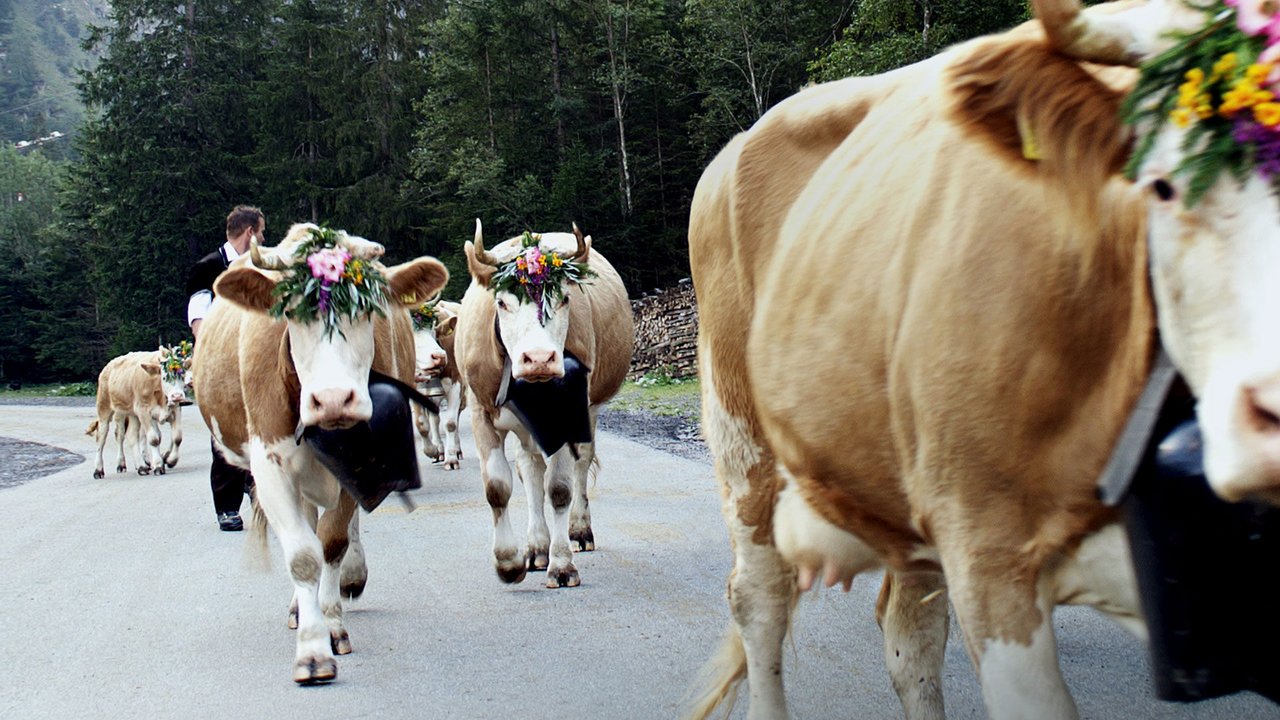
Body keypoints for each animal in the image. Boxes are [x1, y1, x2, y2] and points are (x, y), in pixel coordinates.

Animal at [87, 346, 190, 479]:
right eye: (164, 378)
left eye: (183, 376)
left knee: (129, 435)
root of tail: (108, 366)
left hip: (130, 413)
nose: (177, 396)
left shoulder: (175, 410)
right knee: (103, 437)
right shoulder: (143, 411)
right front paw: (158, 465)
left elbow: (177, 437)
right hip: (105, 408)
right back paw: (100, 470)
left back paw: (141, 466)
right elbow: (154, 439)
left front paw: (170, 461)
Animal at [193, 222, 447, 683]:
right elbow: (303, 556)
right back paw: (300, 606)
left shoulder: (357, 463)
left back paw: (349, 580)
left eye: (367, 312)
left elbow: (331, 543)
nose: (332, 400)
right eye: (291, 314)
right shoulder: (270, 465)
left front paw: (331, 625)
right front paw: (312, 651)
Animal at [412, 298, 466, 469]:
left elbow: (450, 423)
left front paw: (451, 459)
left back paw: (456, 449)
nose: (440, 357)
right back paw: (440, 450)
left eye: (433, 330)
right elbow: (422, 425)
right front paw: (432, 451)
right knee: (434, 418)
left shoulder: (457, 383)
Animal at [455, 220, 634, 588]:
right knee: (530, 469)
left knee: (581, 462)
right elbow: (498, 488)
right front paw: (508, 562)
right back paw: (537, 547)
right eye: (502, 302)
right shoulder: (480, 412)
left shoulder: (566, 412)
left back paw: (578, 532)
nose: (539, 358)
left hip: (588, 411)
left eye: (564, 298)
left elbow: (560, 489)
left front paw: (562, 565)